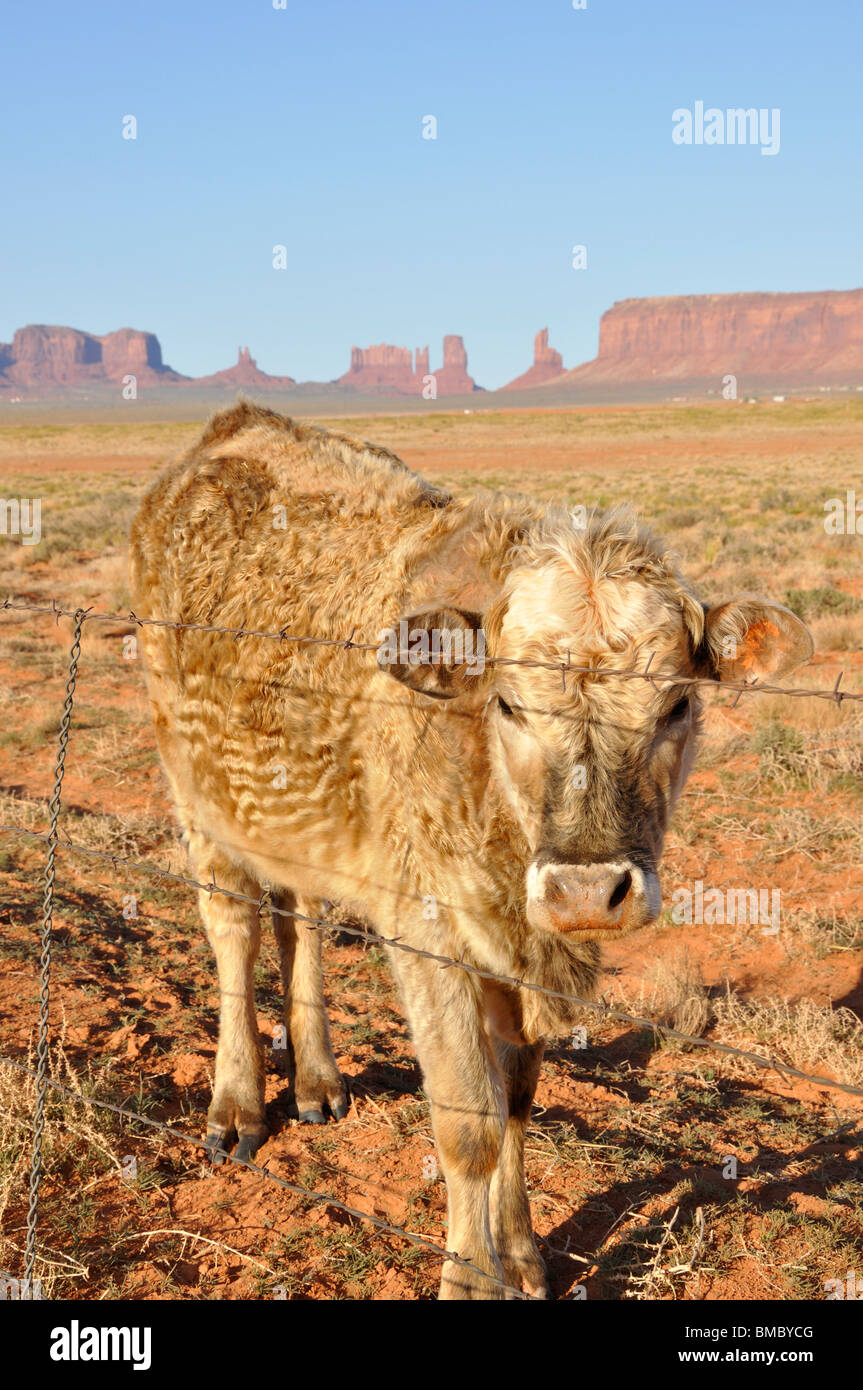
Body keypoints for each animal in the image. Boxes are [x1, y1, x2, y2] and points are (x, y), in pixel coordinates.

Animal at [128, 402, 812, 1299]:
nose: (586, 891)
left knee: (299, 920)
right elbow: (469, 1125)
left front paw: (519, 1253)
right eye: (508, 703)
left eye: (676, 705)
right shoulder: (426, 931)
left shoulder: (514, 949)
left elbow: (516, 1099)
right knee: (233, 934)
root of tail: (230, 430)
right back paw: (237, 1104)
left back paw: (317, 1080)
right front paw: (470, 1276)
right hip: (199, 799)